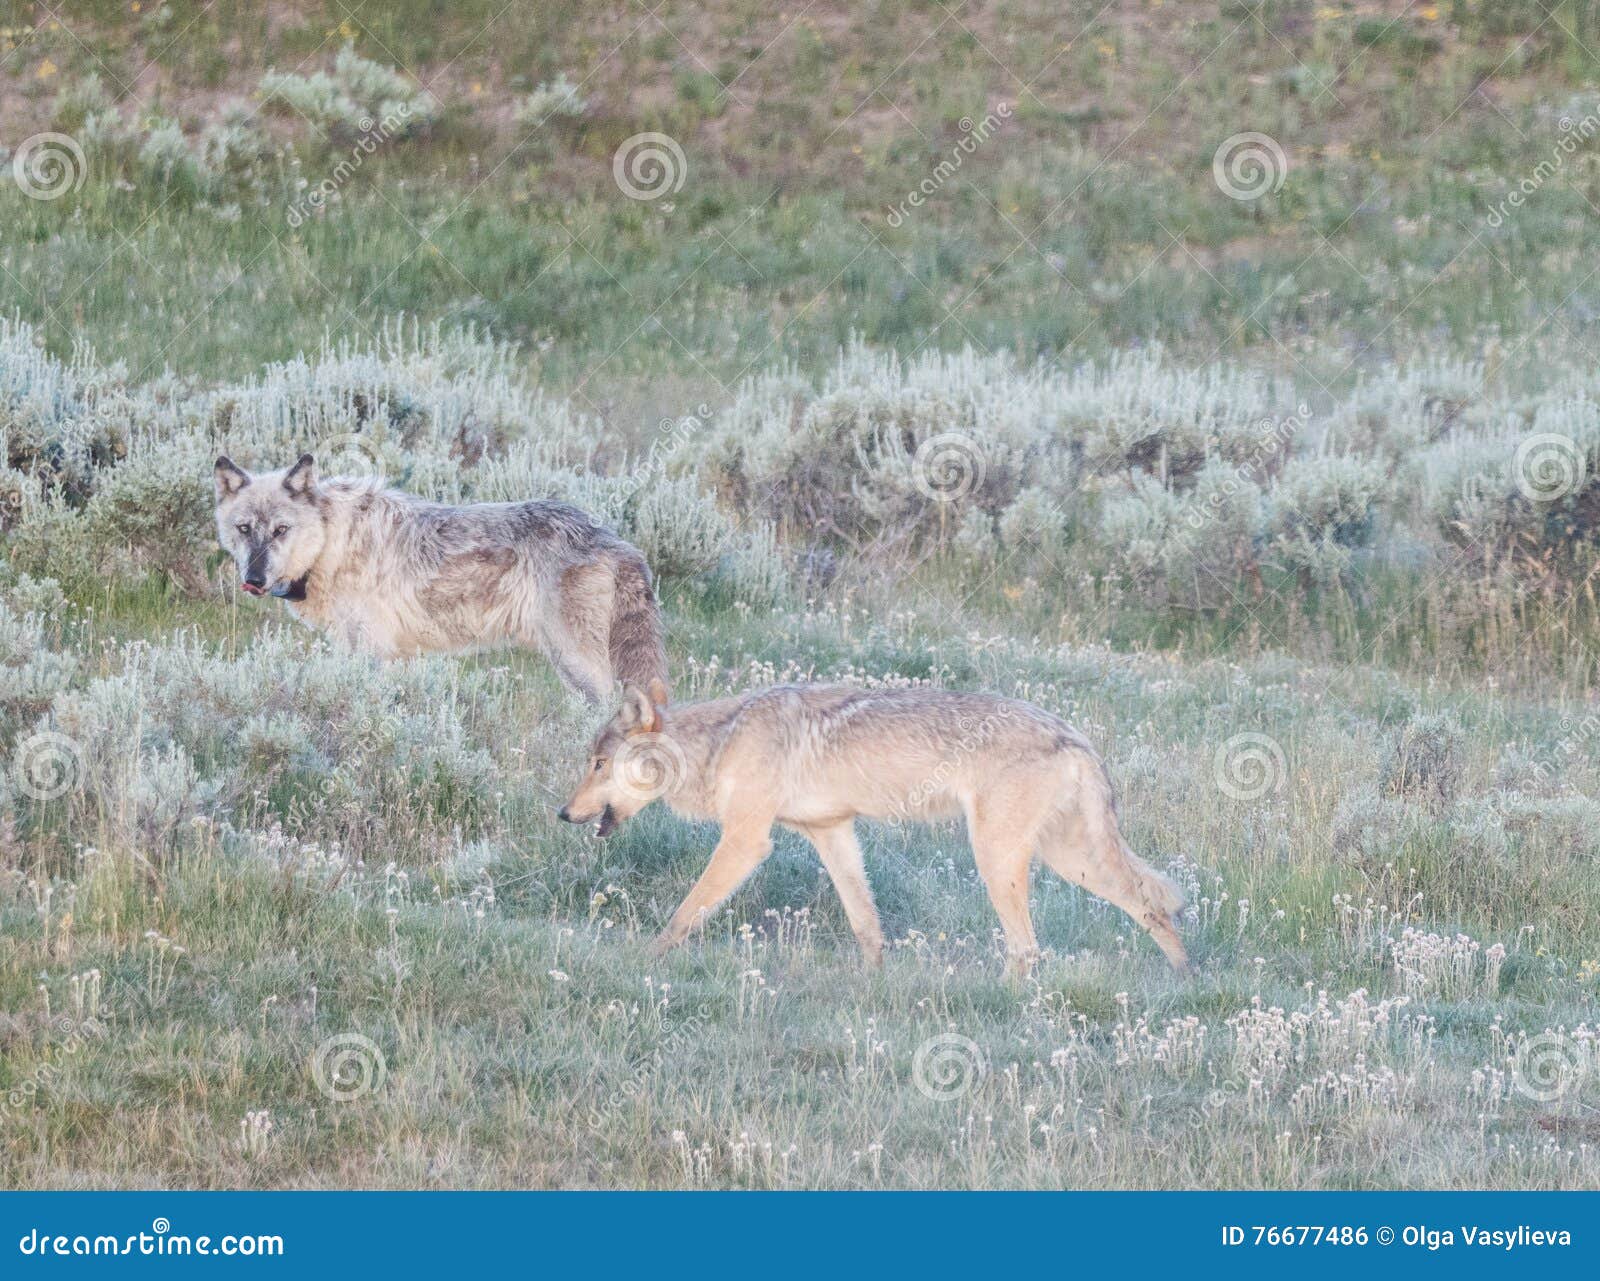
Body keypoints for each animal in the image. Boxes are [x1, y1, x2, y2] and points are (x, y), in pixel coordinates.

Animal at [213, 453, 666, 702]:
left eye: (281, 530)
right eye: (244, 529)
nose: (254, 578)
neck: (331, 544)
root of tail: (616, 540)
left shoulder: (371, 652)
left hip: (577, 665)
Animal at [557, 681, 1190, 975]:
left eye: (597, 764)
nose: (564, 814)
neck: (718, 744)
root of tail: (1072, 733)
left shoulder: (746, 841)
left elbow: (685, 913)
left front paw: (643, 960)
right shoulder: (832, 832)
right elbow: (866, 924)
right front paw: (875, 982)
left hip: (997, 859)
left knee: (1028, 949)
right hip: (1069, 860)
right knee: (1152, 904)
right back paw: (1186, 975)